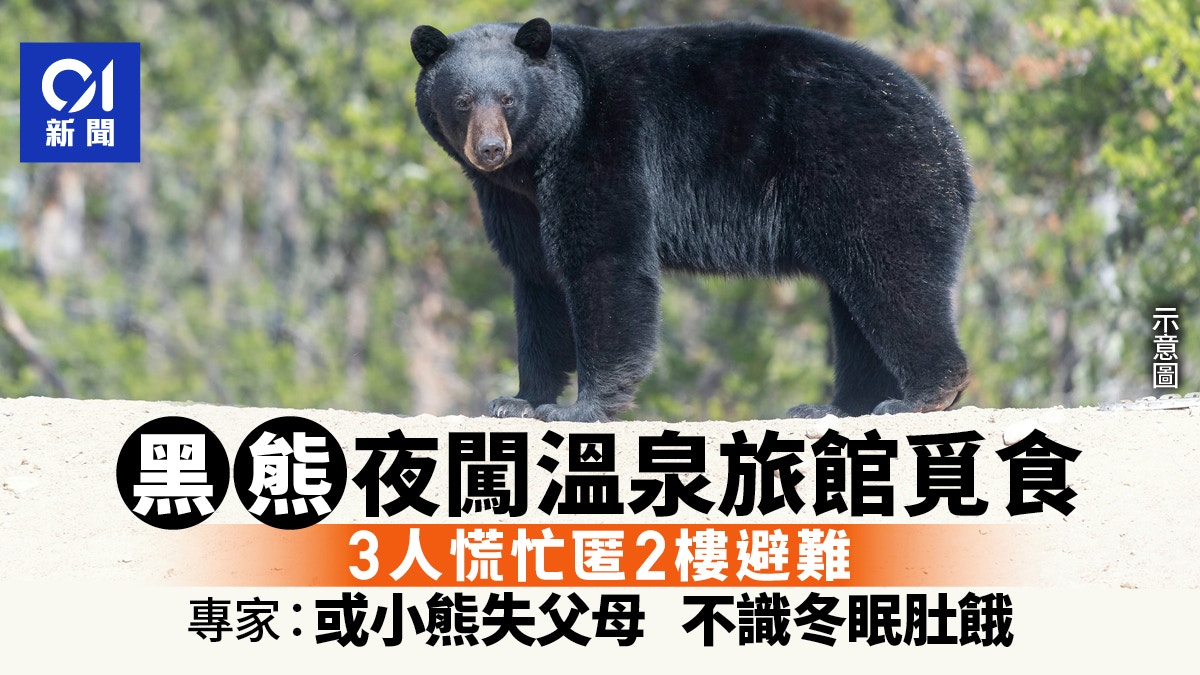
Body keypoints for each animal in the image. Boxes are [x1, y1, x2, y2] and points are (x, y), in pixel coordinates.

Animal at [411, 17, 972, 422]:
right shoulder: (514, 200)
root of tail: (947, 136)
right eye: (462, 100)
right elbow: (536, 278)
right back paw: (834, 407)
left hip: (869, 172)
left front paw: (578, 409)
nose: (489, 149)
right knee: (855, 303)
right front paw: (517, 399)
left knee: (892, 278)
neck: (542, 150)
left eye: (508, 98)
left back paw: (919, 396)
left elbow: (605, 260)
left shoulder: (606, 145)